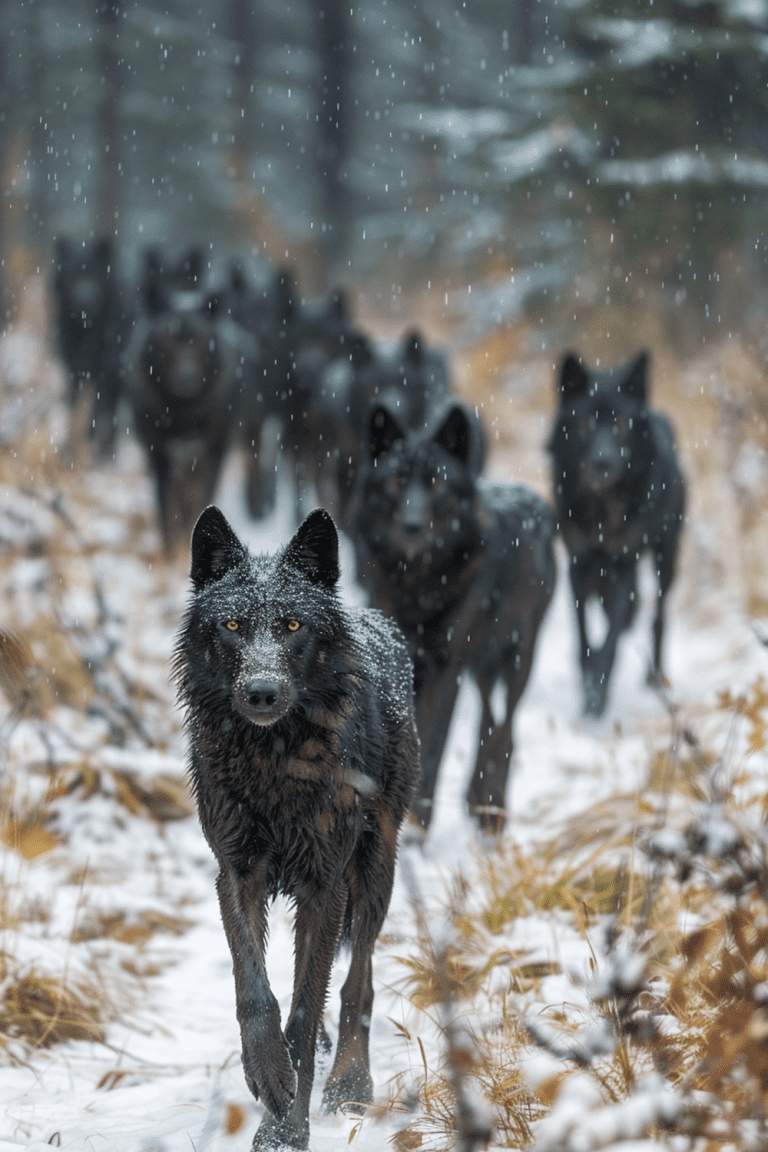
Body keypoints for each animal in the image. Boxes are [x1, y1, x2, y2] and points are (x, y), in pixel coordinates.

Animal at [173, 507, 418, 1151]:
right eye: (234, 624)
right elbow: (255, 991)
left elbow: (306, 1010)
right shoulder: (236, 872)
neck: (273, 763)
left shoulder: (323, 884)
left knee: (359, 979)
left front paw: (284, 1131)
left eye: (291, 624)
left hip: (375, 869)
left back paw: (351, 1085)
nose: (262, 691)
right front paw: (266, 1075)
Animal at [353, 399, 555, 835]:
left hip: (518, 658)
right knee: (489, 721)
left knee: (505, 729)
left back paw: (491, 807)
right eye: (396, 482)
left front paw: (417, 826)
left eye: (437, 484)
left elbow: (434, 748)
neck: (418, 586)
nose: (412, 526)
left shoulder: (448, 669)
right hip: (481, 666)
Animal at [548, 351, 686, 717]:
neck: (602, 506)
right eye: (586, 423)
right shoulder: (579, 566)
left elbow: (608, 645)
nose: (603, 462)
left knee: (657, 618)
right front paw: (588, 693)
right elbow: (584, 642)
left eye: (621, 423)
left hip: (666, 558)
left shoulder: (623, 564)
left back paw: (654, 678)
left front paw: (597, 699)